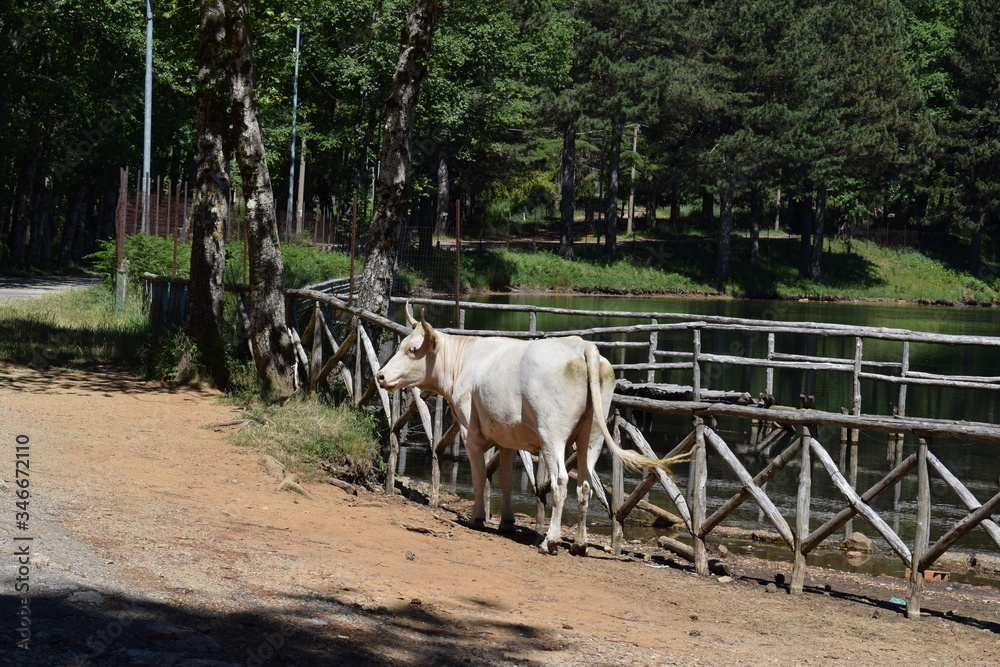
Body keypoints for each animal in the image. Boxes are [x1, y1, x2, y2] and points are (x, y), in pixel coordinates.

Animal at [377, 304, 683, 555]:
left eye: (412, 349)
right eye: (403, 345)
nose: (380, 375)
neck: (464, 361)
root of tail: (581, 345)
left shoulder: (469, 433)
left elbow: (480, 479)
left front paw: (478, 518)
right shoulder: (507, 438)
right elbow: (505, 481)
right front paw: (507, 522)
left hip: (552, 434)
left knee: (561, 481)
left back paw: (551, 541)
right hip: (593, 435)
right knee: (584, 485)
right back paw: (580, 544)